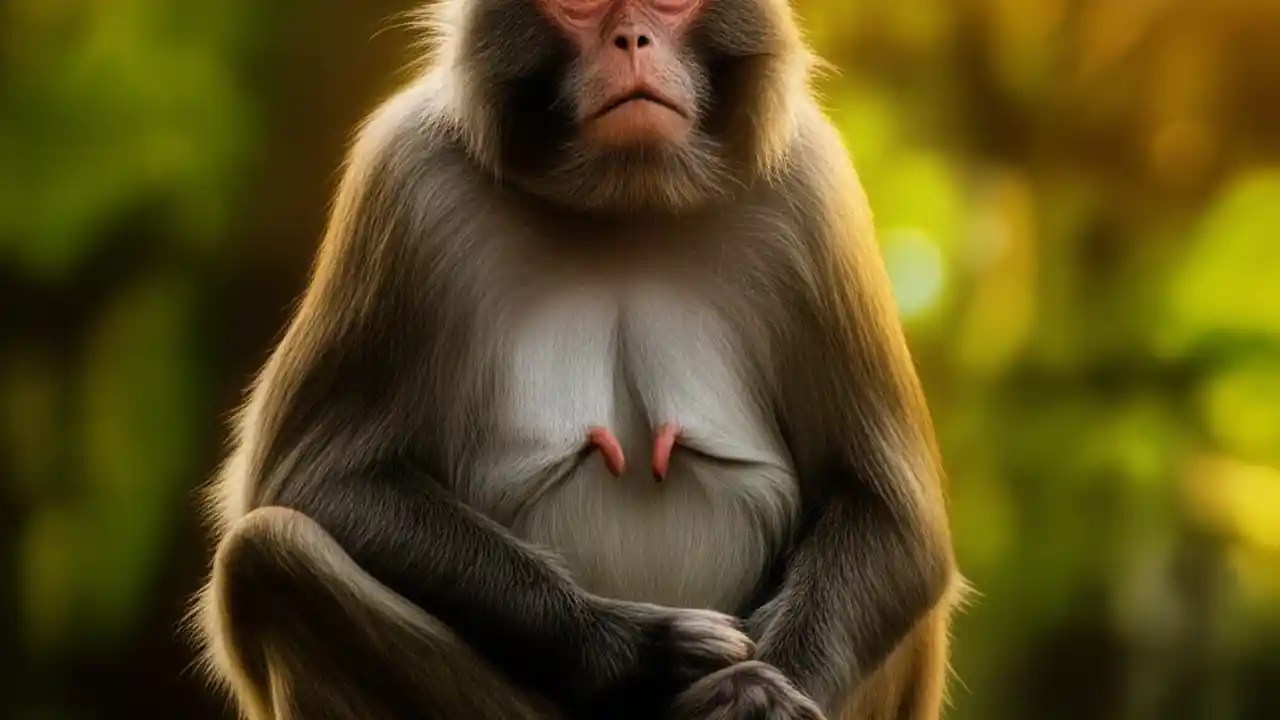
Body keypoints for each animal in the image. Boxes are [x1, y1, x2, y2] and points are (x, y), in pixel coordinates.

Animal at [194, 0, 961, 718]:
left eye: (671, 3)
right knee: (271, 557)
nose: (632, 40)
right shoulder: (406, 178)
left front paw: (763, 693)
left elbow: (894, 517)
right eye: (580, 7)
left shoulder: (811, 186)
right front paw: (646, 654)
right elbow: (318, 482)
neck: (626, 204)